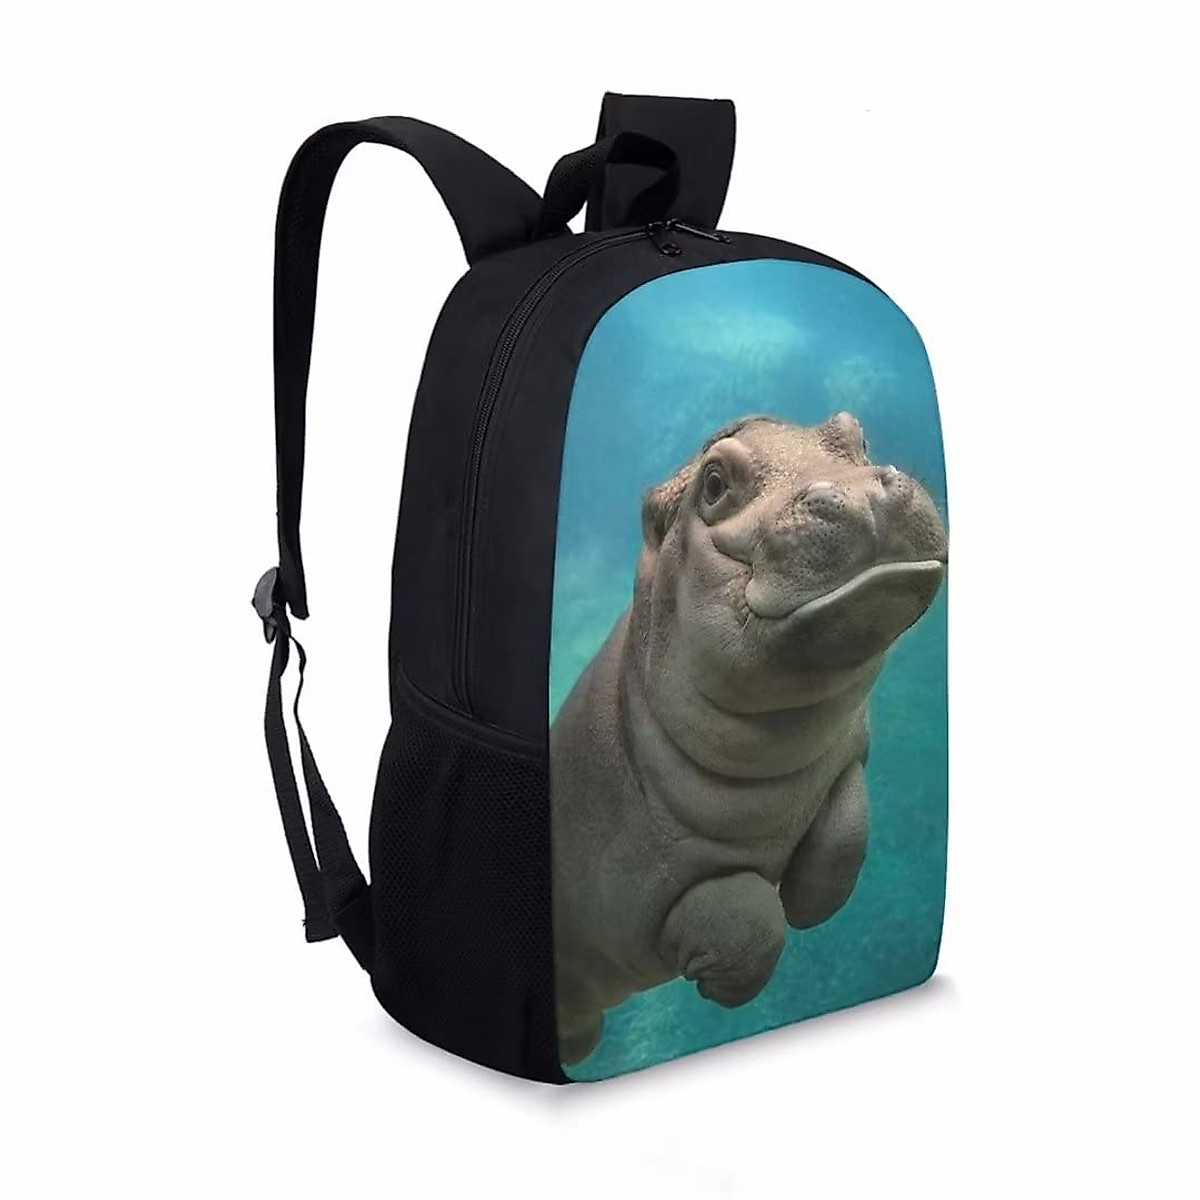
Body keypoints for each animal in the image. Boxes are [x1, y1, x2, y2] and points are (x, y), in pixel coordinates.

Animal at [549, 412, 948, 1064]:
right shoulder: (634, 897)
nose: (864, 492)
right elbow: (751, 922)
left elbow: (846, 830)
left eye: (855, 435)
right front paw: (720, 980)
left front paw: (809, 906)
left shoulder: (844, 761)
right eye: (713, 484)